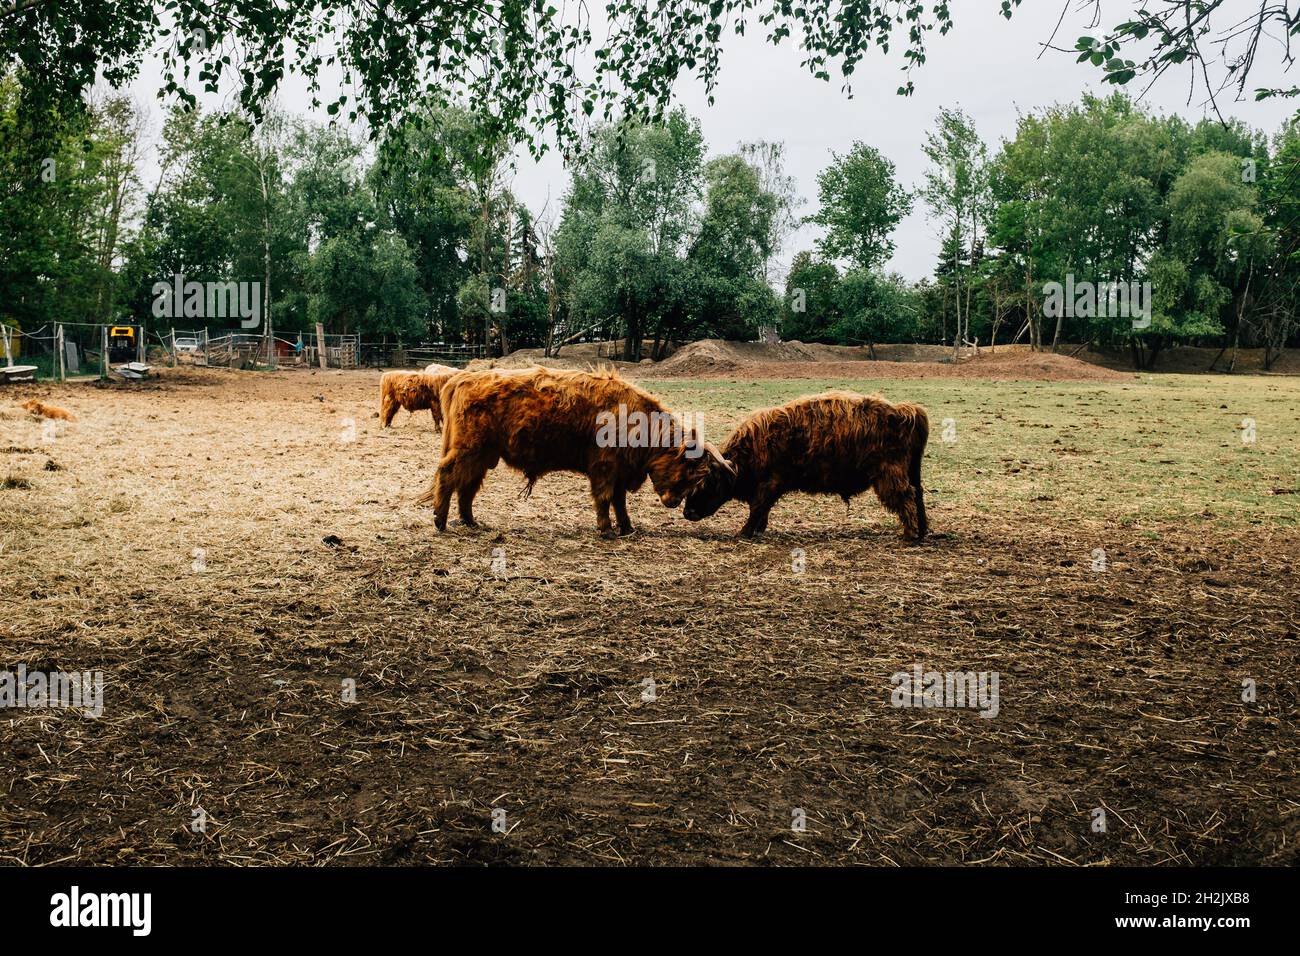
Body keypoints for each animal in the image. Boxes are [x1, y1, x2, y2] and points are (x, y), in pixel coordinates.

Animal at [419, 366, 729, 539]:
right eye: (689, 470)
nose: (675, 504)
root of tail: (461, 379)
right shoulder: (605, 468)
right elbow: (604, 498)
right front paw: (606, 530)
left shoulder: (619, 471)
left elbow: (619, 502)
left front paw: (626, 527)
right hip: (469, 449)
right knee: (447, 475)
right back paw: (440, 520)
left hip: (482, 456)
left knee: (467, 486)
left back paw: (470, 521)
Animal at [682, 391, 929, 540]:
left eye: (703, 483)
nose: (687, 512)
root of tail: (903, 411)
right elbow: (763, 509)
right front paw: (758, 529)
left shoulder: (771, 483)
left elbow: (758, 507)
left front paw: (744, 532)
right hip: (911, 471)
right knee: (918, 495)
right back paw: (923, 531)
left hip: (889, 473)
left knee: (905, 496)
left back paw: (909, 535)